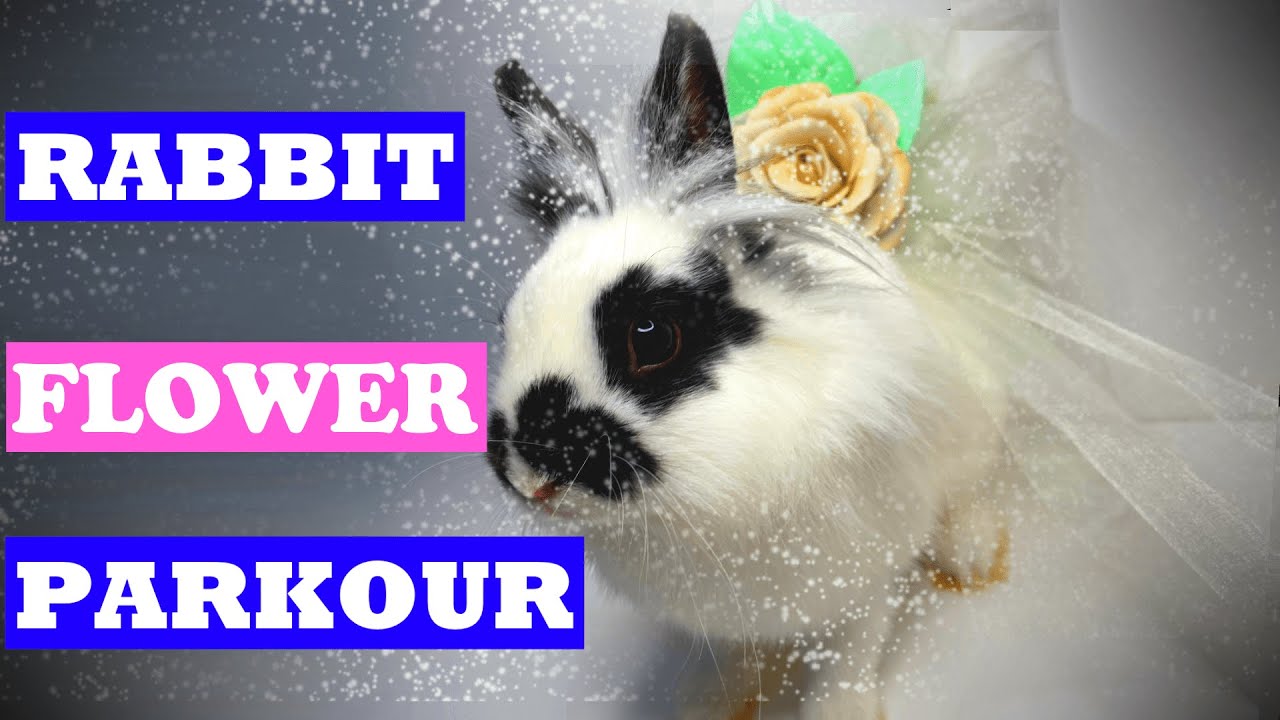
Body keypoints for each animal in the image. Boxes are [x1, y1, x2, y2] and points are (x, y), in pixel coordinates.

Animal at [487, 13, 1010, 719]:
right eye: (505, 322)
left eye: (653, 337)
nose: (529, 477)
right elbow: (741, 655)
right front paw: (707, 702)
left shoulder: (868, 565)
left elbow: (854, 649)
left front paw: (841, 711)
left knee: (973, 483)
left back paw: (972, 558)